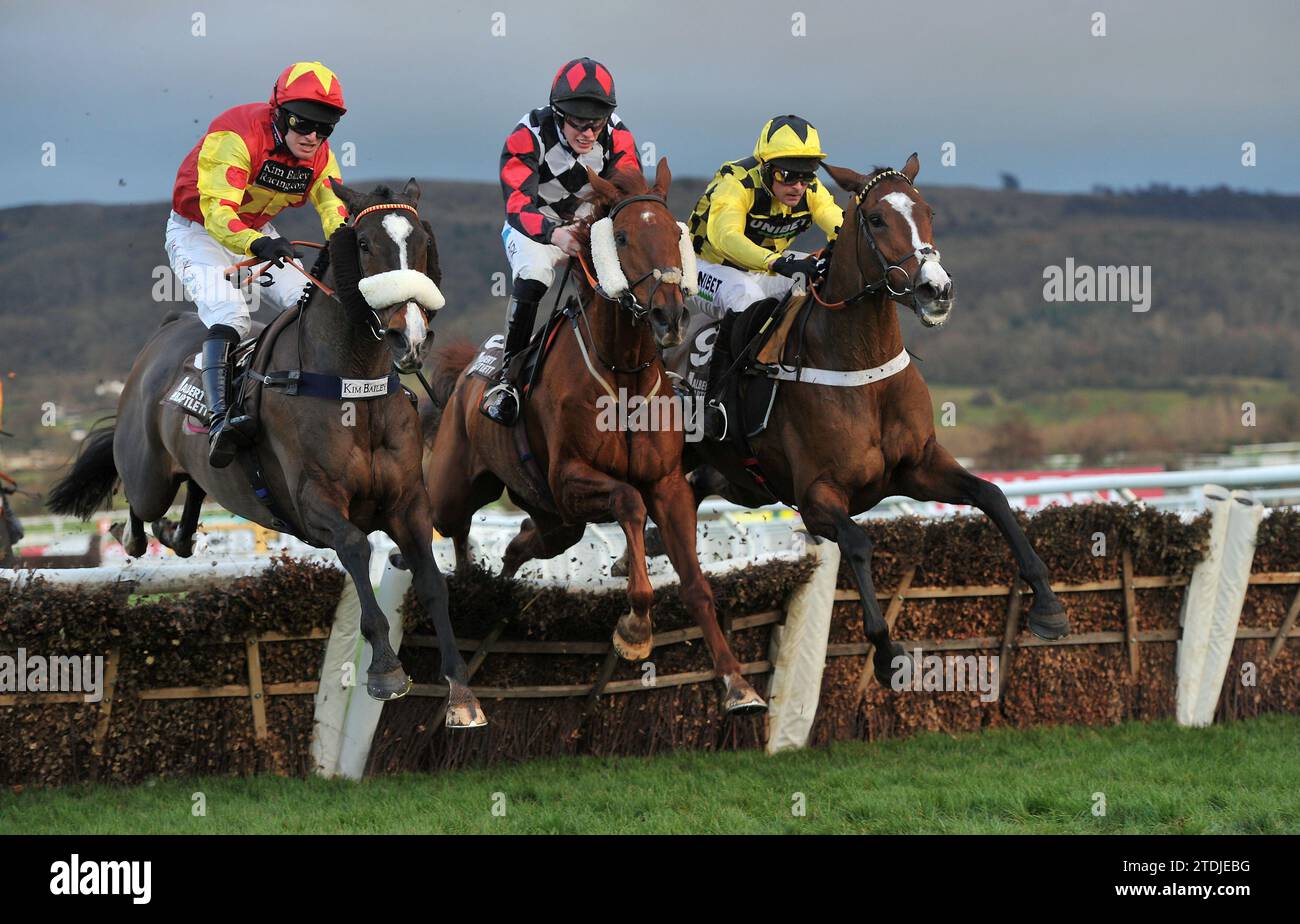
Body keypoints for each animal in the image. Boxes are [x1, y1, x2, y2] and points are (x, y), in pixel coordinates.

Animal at [46, 180, 488, 727]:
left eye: (424, 242)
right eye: (364, 245)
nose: (408, 336)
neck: (352, 388)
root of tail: (168, 327)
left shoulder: (408, 502)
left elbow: (431, 580)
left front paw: (461, 692)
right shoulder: (313, 502)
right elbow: (356, 548)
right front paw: (386, 669)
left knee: (194, 496)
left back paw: (179, 533)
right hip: (148, 474)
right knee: (140, 501)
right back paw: (131, 534)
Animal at [422, 159, 767, 715]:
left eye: (676, 233)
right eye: (621, 237)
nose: (671, 317)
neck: (622, 372)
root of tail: (469, 374)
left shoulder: (668, 483)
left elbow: (695, 584)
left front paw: (738, 684)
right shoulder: (570, 478)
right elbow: (629, 502)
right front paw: (635, 629)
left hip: (555, 519)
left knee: (521, 543)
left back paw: (494, 585)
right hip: (457, 490)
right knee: (447, 527)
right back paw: (461, 582)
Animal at [617, 155, 1070, 685]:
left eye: (928, 212)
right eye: (876, 219)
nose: (936, 289)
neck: (861, 369)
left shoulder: (918, 468)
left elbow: (992, 495)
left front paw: (1048, 604)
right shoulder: (817, 497)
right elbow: (856, 542)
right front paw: (886, 649)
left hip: (735, 481)